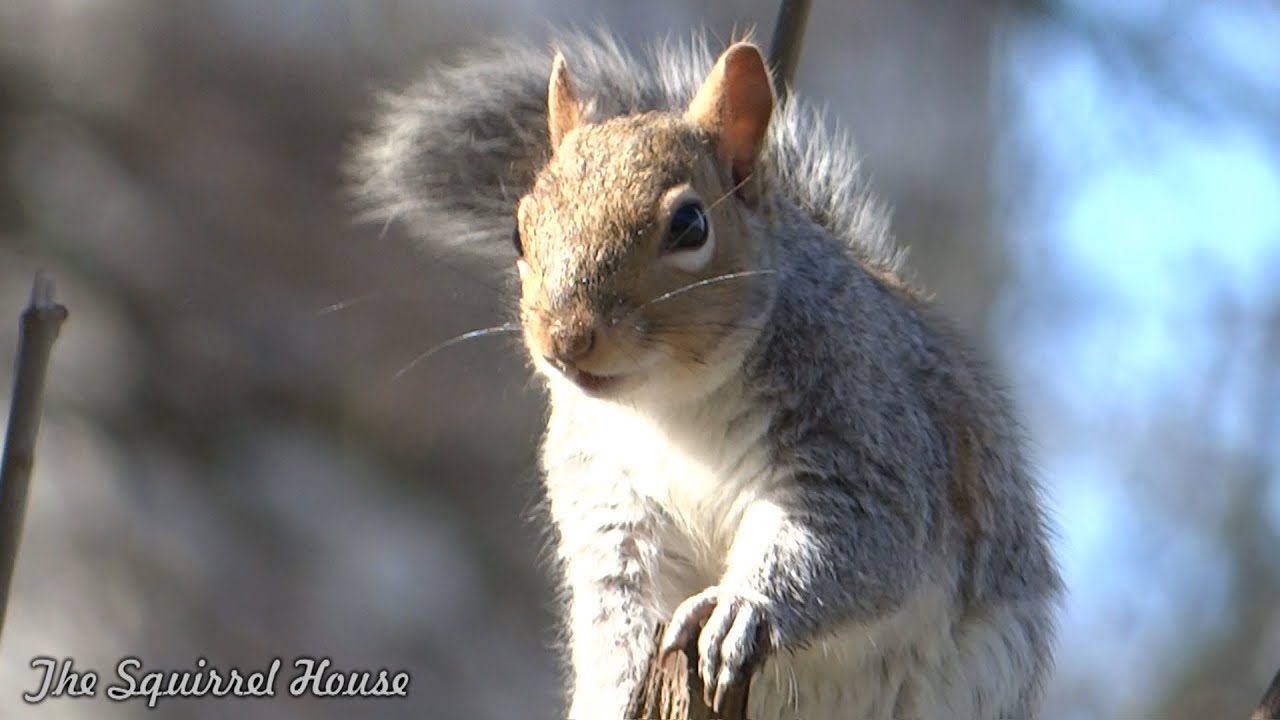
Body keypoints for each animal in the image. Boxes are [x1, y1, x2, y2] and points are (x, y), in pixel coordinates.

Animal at [350, 30, 1063, 720]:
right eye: (519, 235)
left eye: (690, 224)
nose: (565, 340)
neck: (670, 403)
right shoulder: (607, 491)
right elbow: (620, 604)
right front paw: (610, 686)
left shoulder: (865, 438)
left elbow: (848, 540)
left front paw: (738, 608)